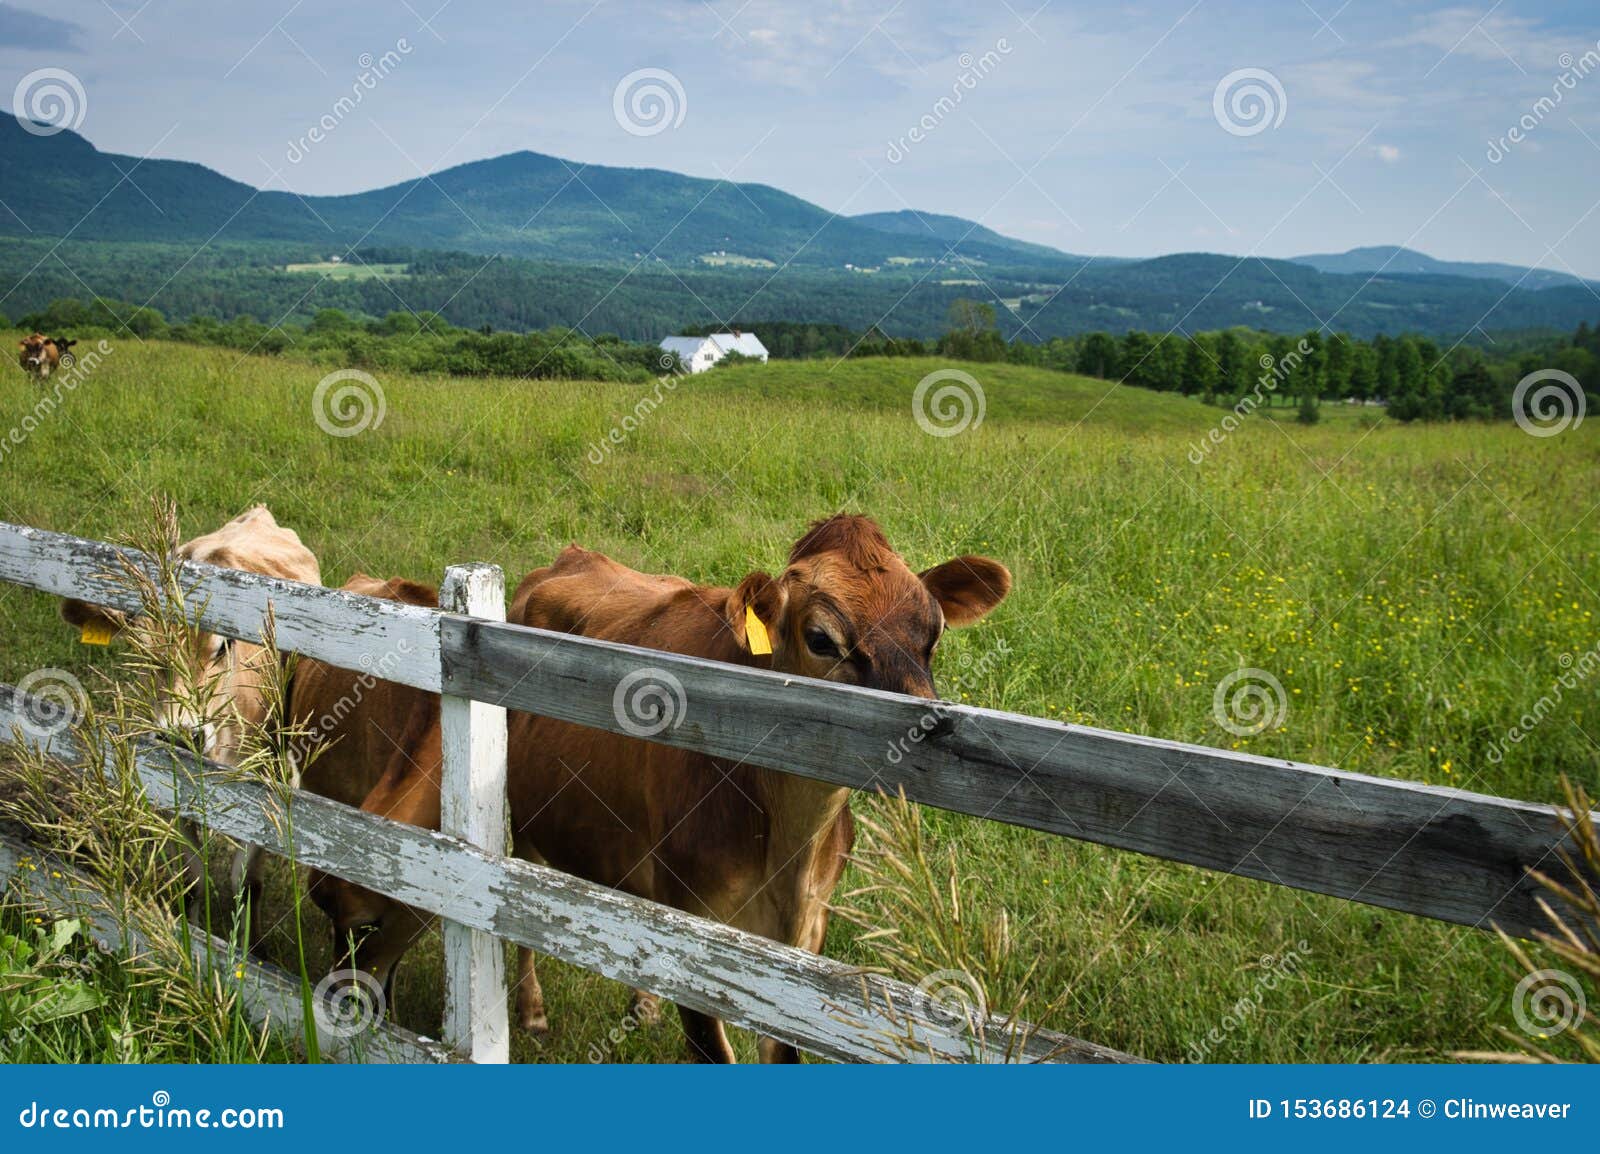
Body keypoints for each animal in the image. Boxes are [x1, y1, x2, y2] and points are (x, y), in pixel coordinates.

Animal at [312, 514, 1012, 1061]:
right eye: (822, 639)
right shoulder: (695, 929)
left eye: (933, 634)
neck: (784, 841)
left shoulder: (805, 943)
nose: (924, 730)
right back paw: (533, 1010)